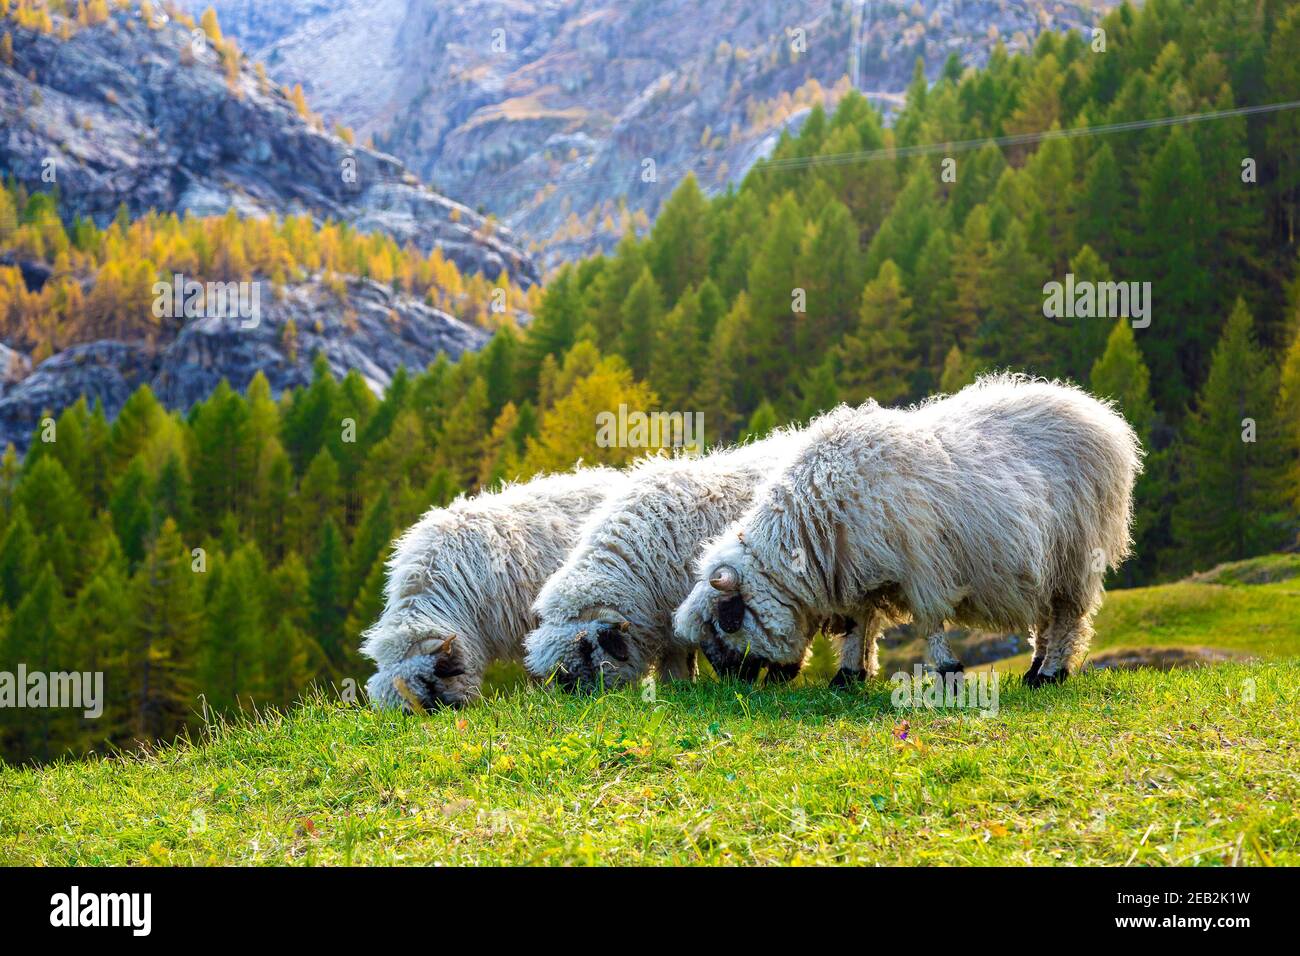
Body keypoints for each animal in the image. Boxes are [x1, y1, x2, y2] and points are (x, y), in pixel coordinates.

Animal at [673, 375, 1143, 688]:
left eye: (727, 619)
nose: (734, 684)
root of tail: (1099, 412)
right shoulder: (856, 573)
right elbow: (858, 623)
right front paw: (849, 675)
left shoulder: (922, 565)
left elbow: (930, 622)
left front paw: (948, 672)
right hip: (1046, 560)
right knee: (1047, 617)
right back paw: (1034, 668)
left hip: (1077, 552)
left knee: (1067, 617)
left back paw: (1051, 672)